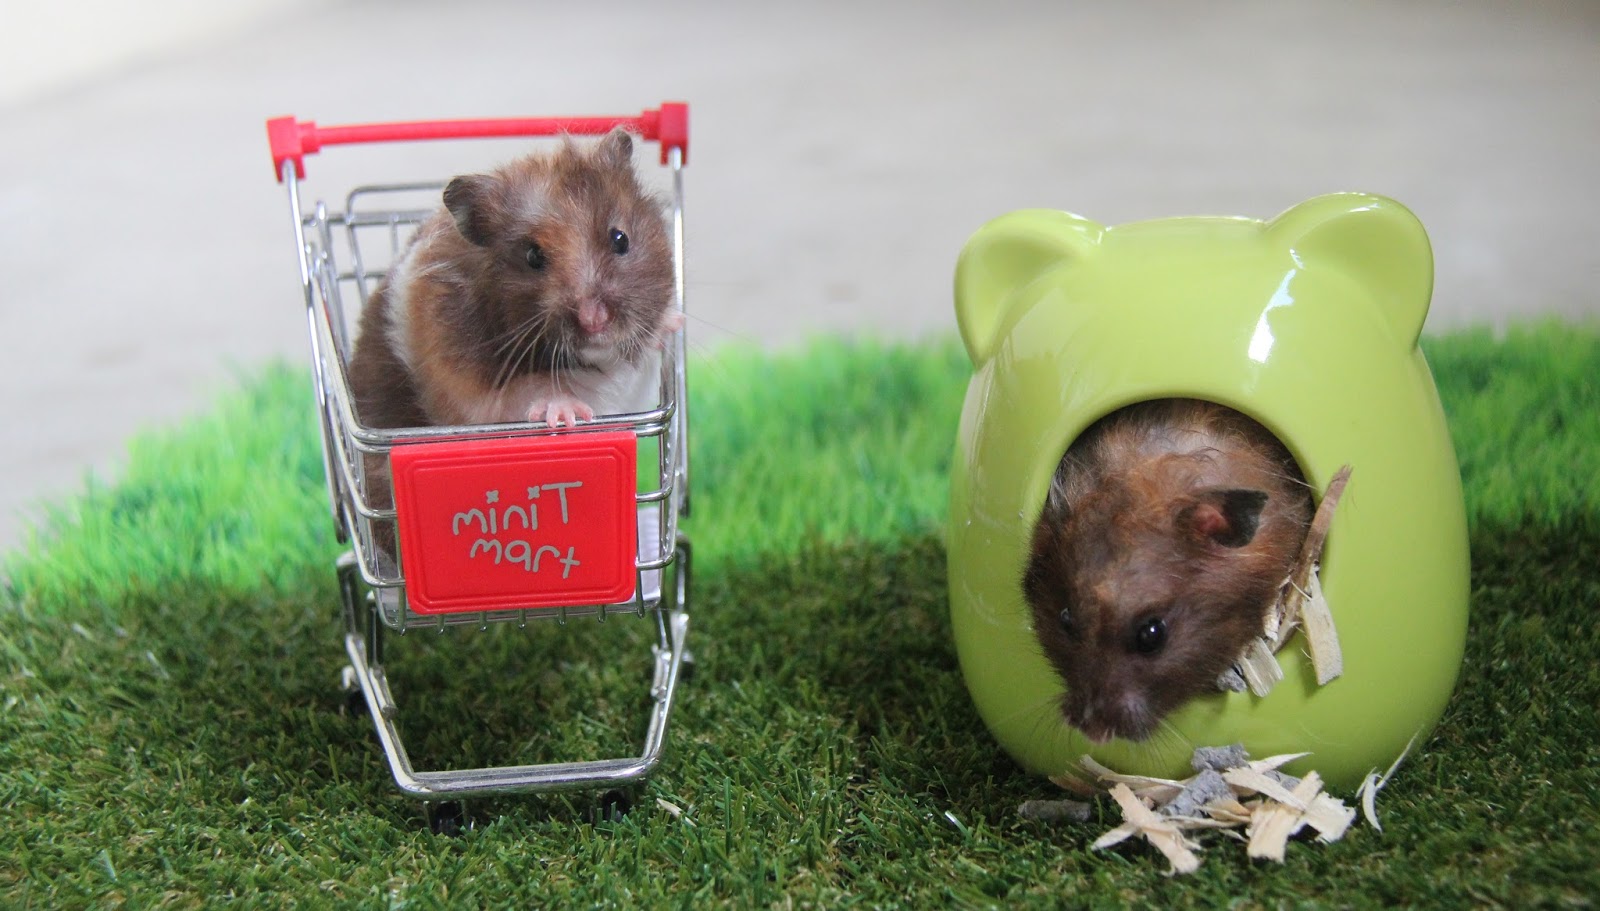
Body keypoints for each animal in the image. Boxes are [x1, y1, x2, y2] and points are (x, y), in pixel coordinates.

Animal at [348, 127, 681, 436]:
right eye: (533, 256)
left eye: (620, 239)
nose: (593, 320)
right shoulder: (466, 396)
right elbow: (528, 394)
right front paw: (567, 415)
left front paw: (672, 322)